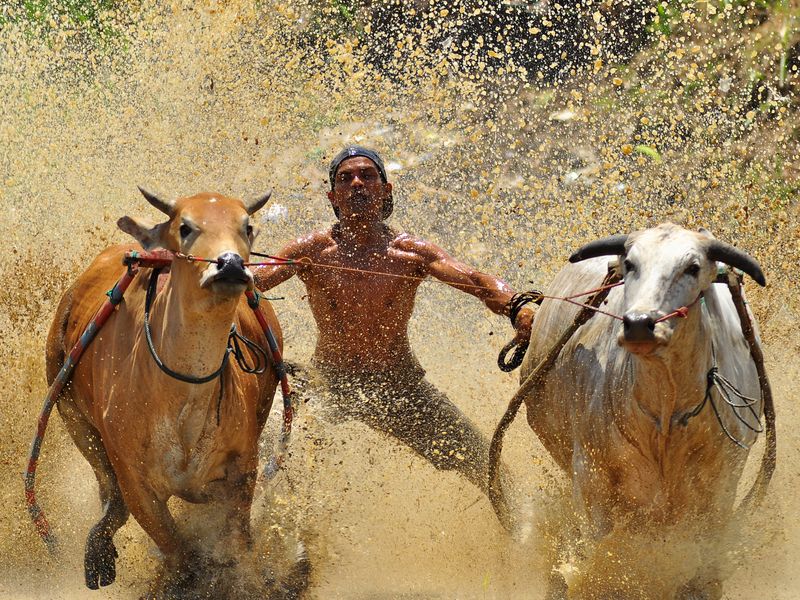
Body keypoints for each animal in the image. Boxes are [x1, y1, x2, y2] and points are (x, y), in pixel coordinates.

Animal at [45, 188, 285, 595]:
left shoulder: (243, 468)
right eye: (185, 227)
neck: (183, 400)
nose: (231, 265)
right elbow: (179, 553)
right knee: (110, 497)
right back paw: (98, 551)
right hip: (70, 413)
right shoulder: (134, 480)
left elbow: (235, 548)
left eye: (247, 227)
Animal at [520, 223, 767, 599]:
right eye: (631, 264)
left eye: (693, 267)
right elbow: (594, 559)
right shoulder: (591, 476)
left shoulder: (722, 485)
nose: (639, 323)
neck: (665, 417)